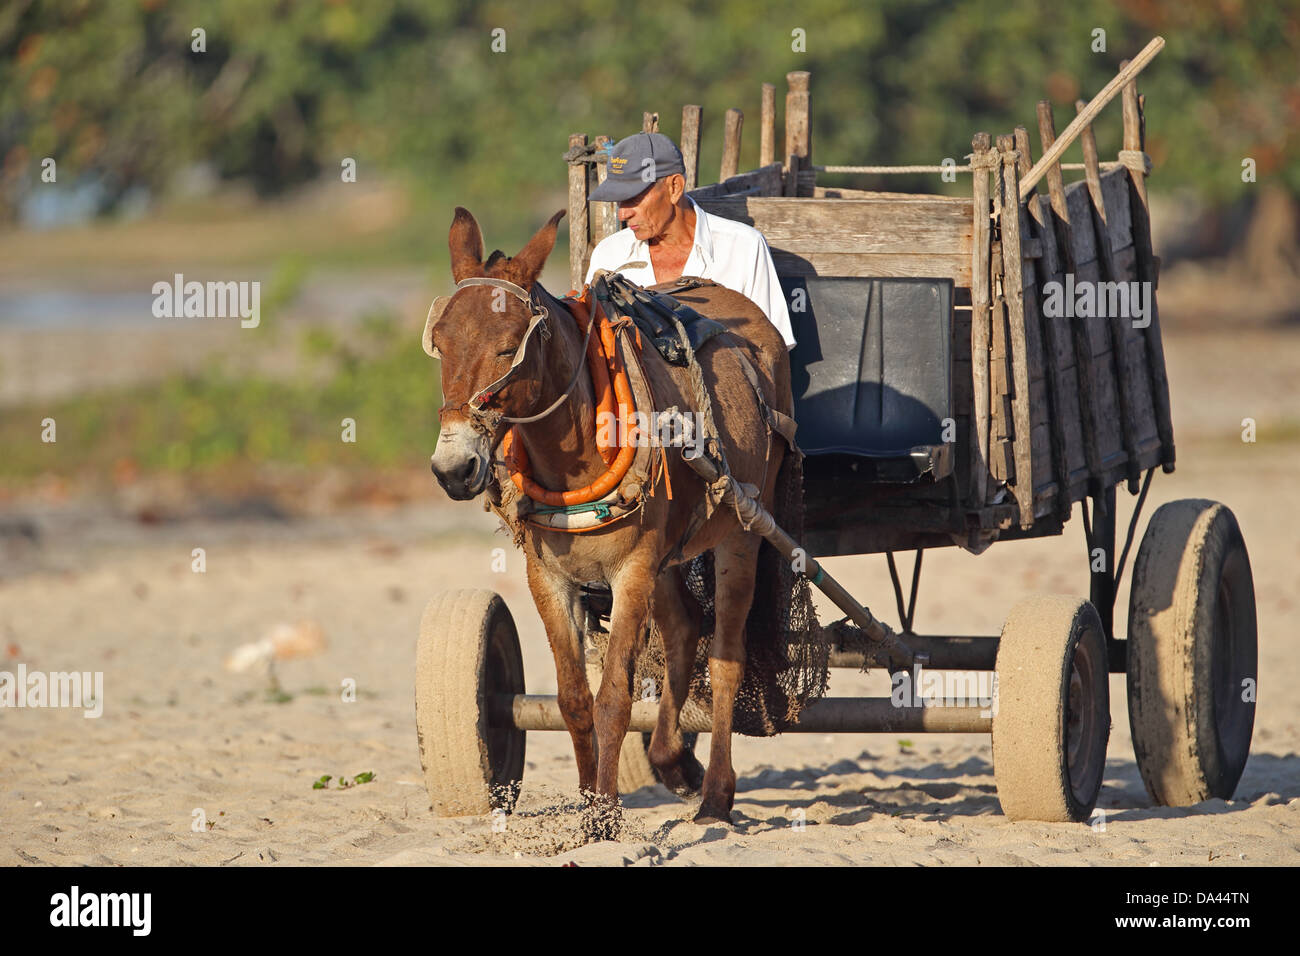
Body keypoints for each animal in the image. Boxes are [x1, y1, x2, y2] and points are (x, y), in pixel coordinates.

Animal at [429, 206, 793, 835]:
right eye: (440, 344)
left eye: (508, 349)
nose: (454, 467)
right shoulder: (550, 578)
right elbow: (575, 700)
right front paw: (588, 807)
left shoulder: (632, 572)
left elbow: (615, 699)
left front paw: (605, 817)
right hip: (670, 556)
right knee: (683, 631)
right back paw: (673, 762)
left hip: (741, 529)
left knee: (725, 657)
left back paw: (716, 796)